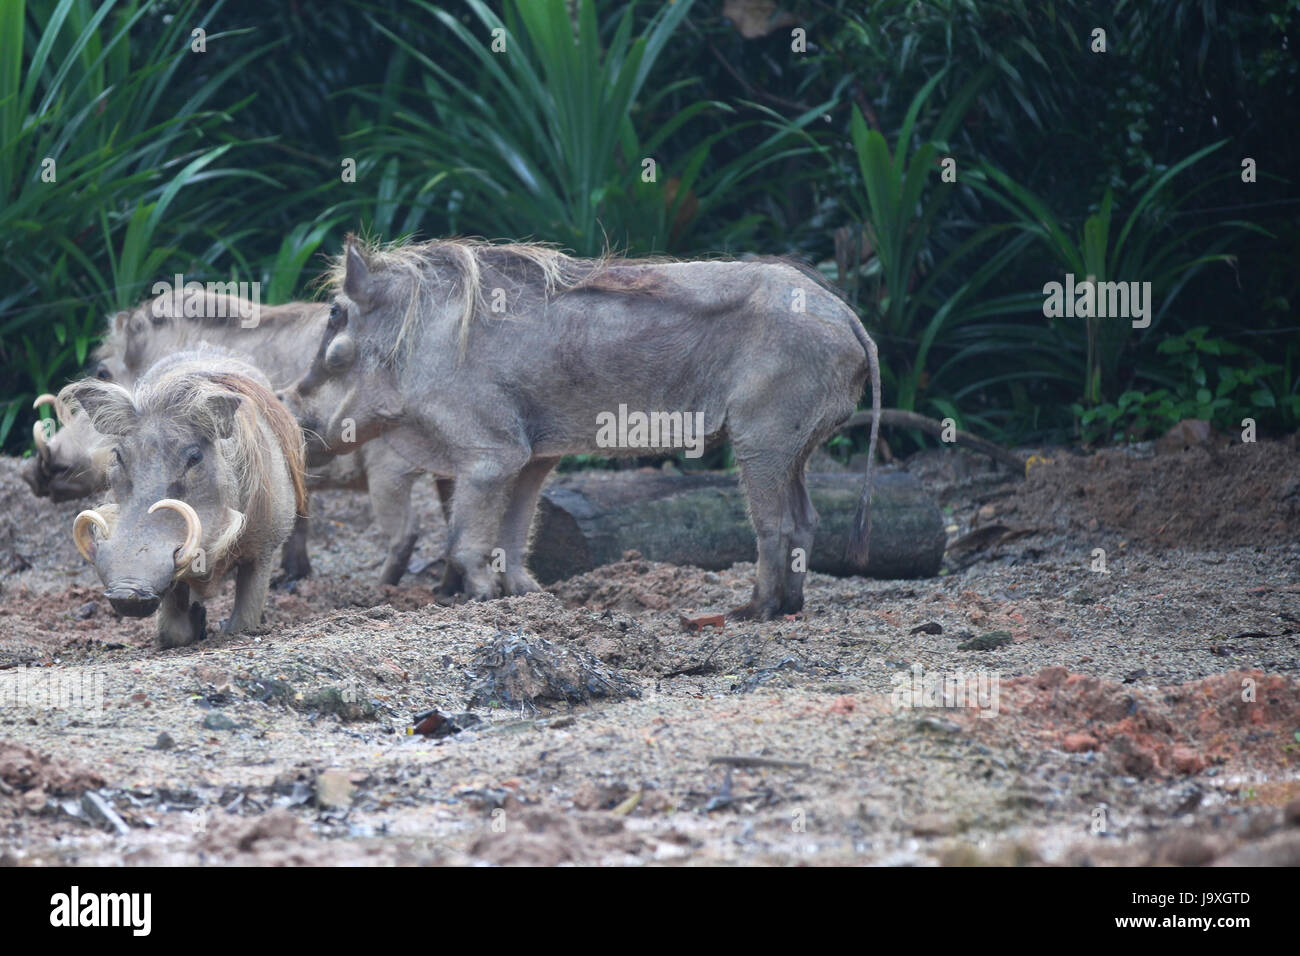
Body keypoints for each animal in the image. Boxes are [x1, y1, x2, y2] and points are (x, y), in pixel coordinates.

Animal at [61, 347, 306, 646]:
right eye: (118, 455)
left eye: (195, 457)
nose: (126, 591)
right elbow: (173, 631)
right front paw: (197, 621)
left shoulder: (262, 552)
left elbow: (243, 622)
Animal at [285, 237, 880, 620]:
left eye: (335, 317)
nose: (286, 405)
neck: (413, 340)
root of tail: (848, 317)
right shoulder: (530, 458)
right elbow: (512, 536)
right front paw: (525, 598)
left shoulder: (490, 454)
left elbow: (466, 541)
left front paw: (478, 600)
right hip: (794, 447)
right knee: (807, 520)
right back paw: (789, 608)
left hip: (763, 440)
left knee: (776, 525)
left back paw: (753, 612)